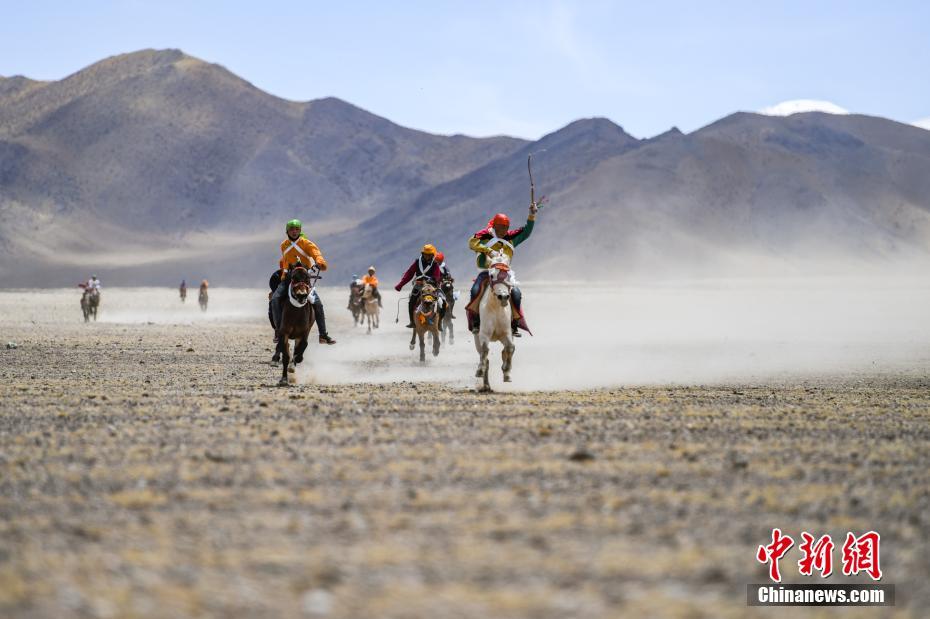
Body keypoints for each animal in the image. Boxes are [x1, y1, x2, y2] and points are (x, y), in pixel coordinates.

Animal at [472, 248, 516, 390]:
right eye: (492, 275)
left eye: (508, 275)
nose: (503, 297)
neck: (496, 308)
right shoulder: (484, 334)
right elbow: (485, 350)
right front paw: (479, 370)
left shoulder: (506, 333)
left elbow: (510, 348)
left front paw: (506, 372)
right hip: (476, 339)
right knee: (485, 357)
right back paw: (486, 385)